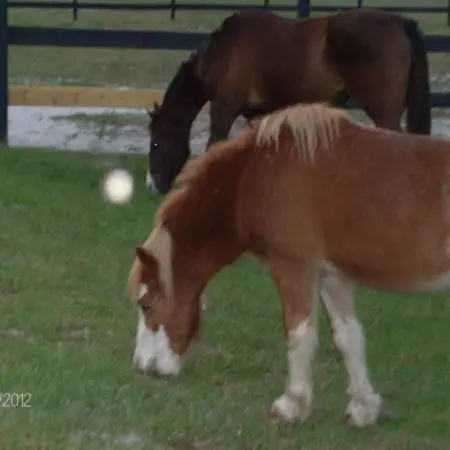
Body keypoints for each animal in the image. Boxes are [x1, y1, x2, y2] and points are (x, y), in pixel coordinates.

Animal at [129, 103, 446, 428]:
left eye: (146, 305)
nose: (142, 365)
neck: (253, 175)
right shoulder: (332, 274)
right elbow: (348, 336)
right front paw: (363, 408)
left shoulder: (293, 267)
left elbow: (299, 334)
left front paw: (292, 405)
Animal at [146, 7, 430, 193]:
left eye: (157, 143)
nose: (152, 187)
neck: (222, 49)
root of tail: (399, 22)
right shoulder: (260, 115)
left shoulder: (223, 107)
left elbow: (214, 145)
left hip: (384, 111)